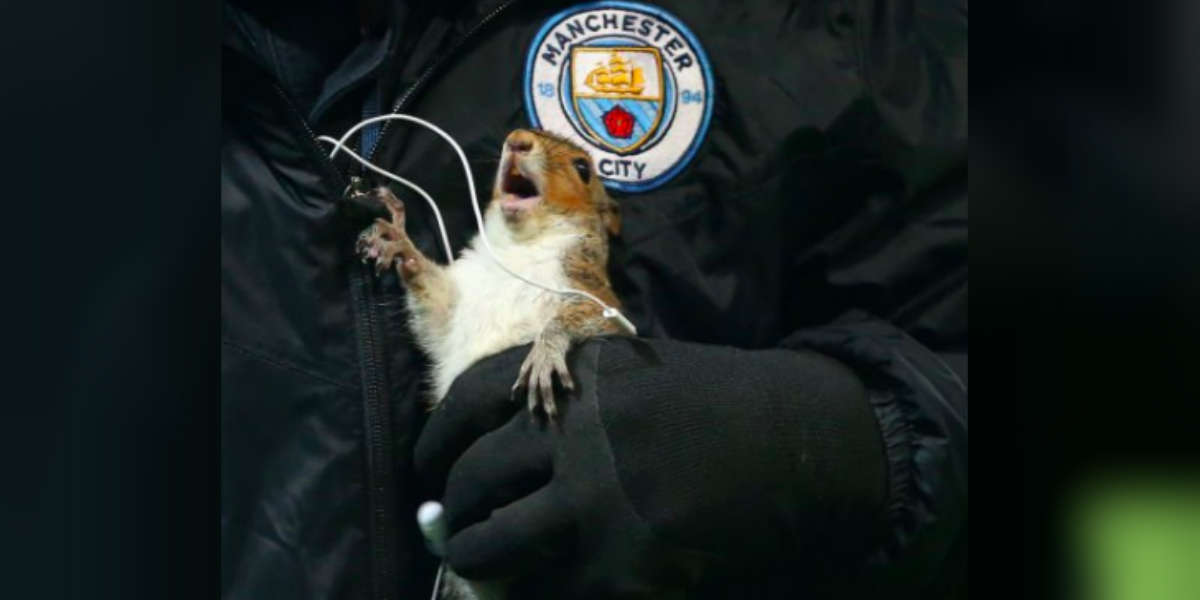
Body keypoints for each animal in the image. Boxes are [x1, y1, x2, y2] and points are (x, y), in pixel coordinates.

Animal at [353, 127, 626, 417]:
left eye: (583, 168)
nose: (517, 139)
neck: (521, 245)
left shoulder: (590, 288)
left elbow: (590, 318)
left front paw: (546, 351)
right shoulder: (456, 315)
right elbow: (437, 316)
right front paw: (401, 243)